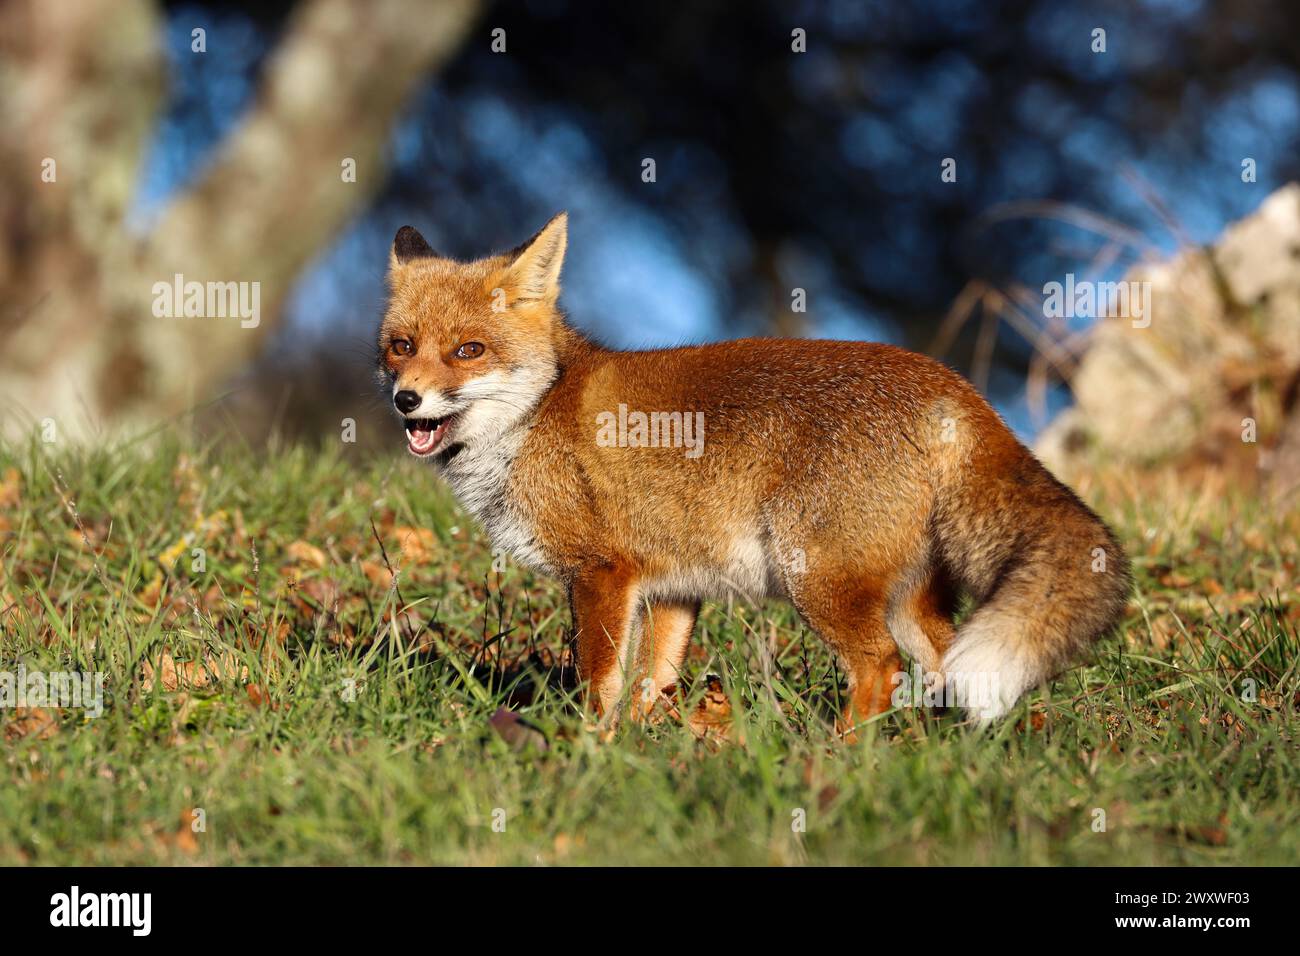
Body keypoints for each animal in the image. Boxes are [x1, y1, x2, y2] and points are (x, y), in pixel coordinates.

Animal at [376, 212, 1131, 727]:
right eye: (401, 346)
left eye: (469, 350)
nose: (406, 399)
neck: (536, 412)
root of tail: (953, 386)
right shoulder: (673, 585)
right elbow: (652, 683)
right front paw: (640, 756)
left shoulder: (601, 573)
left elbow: (600, 684)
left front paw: (586, 754)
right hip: (912, 602)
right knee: (963, 675)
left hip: (820, 579)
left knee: (878, 669)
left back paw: (835, 758)